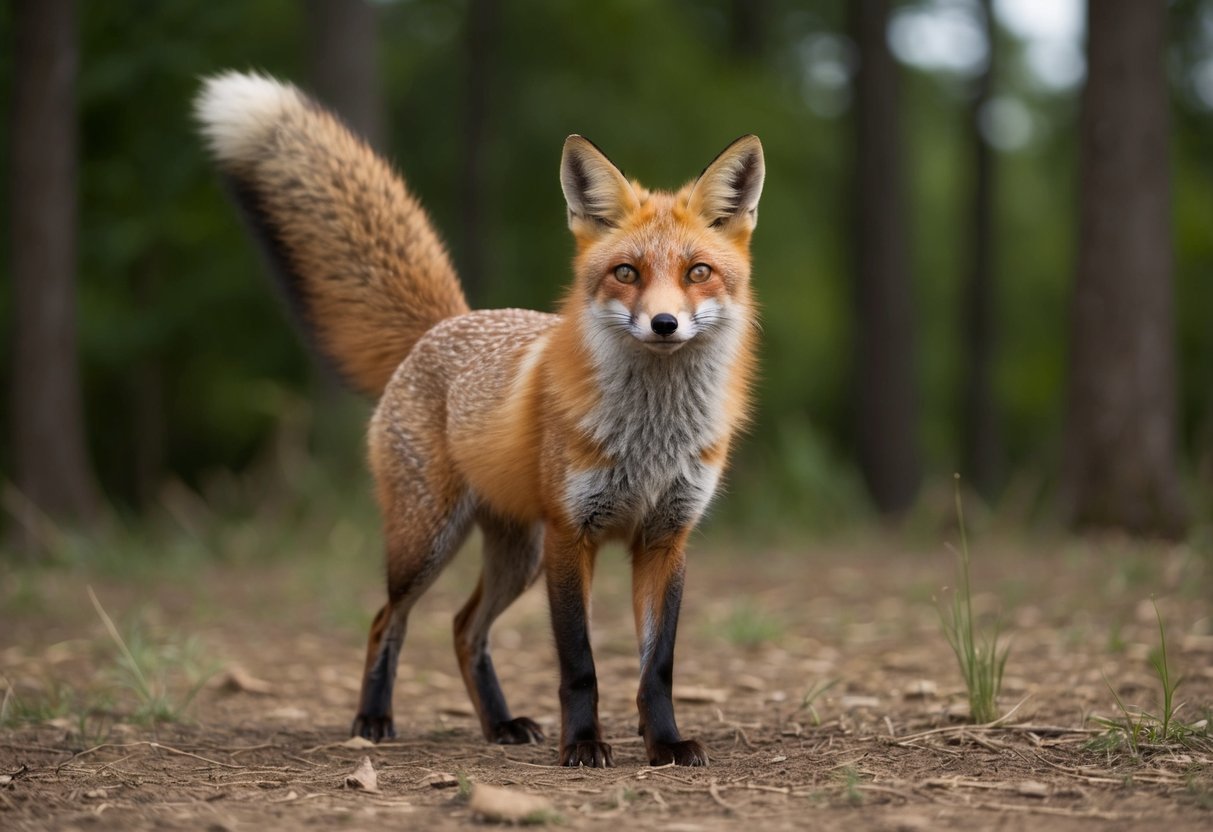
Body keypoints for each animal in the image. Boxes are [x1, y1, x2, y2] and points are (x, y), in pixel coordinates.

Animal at [195, 71, 763, 768]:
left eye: (697, 272)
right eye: (626, 272)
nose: (664, 324)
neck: (651, 437)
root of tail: (447, 323)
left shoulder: (665, 539)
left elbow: (657, 668)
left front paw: (666, 744)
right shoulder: (571, 537)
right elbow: (579, 665)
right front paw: (583, 745)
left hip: (516, 556)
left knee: (464, 628)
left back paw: (500, 725)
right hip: (428, 542)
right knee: (388, 620)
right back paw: (373, 718)